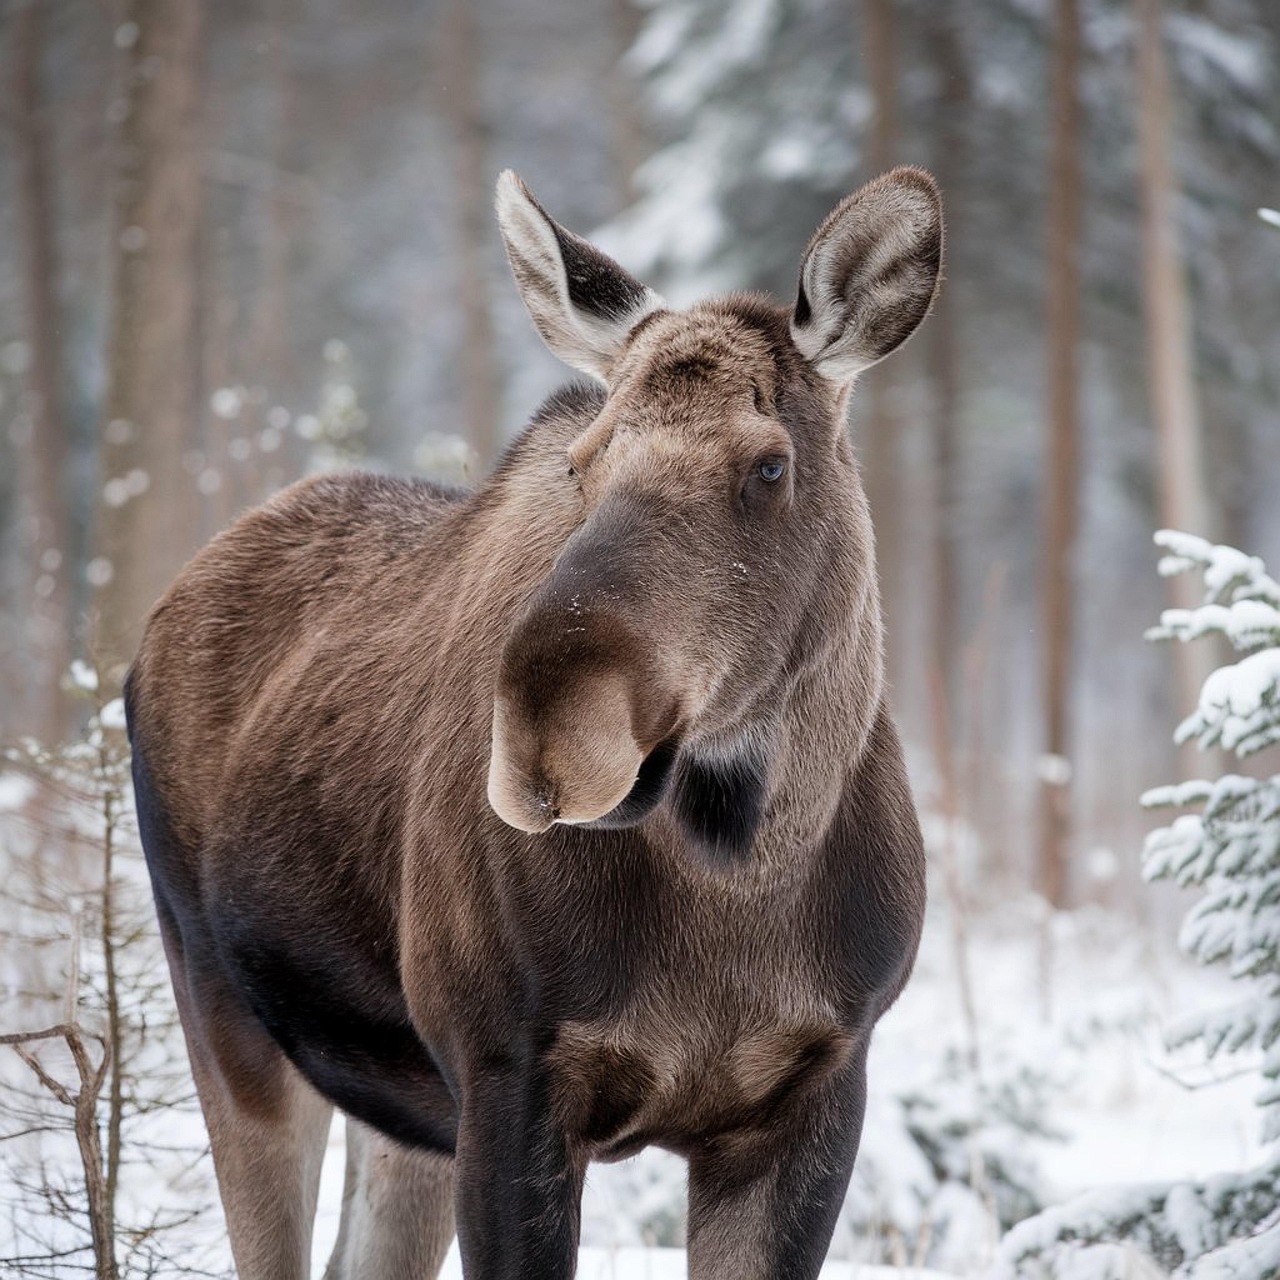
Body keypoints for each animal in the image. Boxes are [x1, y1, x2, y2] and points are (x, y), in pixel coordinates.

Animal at [125, 165, 941, 1279]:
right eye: (582, 463)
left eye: (768, 465)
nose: (548, 734)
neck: (740, 875)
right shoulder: (509, 1071)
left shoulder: (817, 1081)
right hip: (229, 1011)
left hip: (402, 1103)